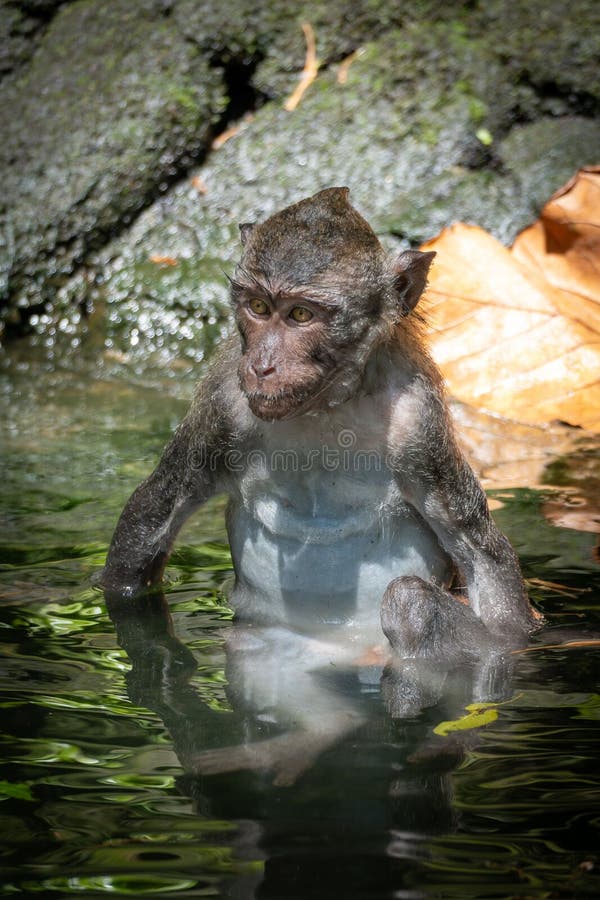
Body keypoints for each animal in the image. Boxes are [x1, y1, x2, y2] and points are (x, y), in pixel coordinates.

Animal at [101, 187, 539, 659]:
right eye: (258, 306)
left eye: (300, 315)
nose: (262, 366)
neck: (326, 406)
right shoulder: (223, 403)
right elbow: (159, 504)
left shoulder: (418, 426)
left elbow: (484, 562)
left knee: (410, 602)